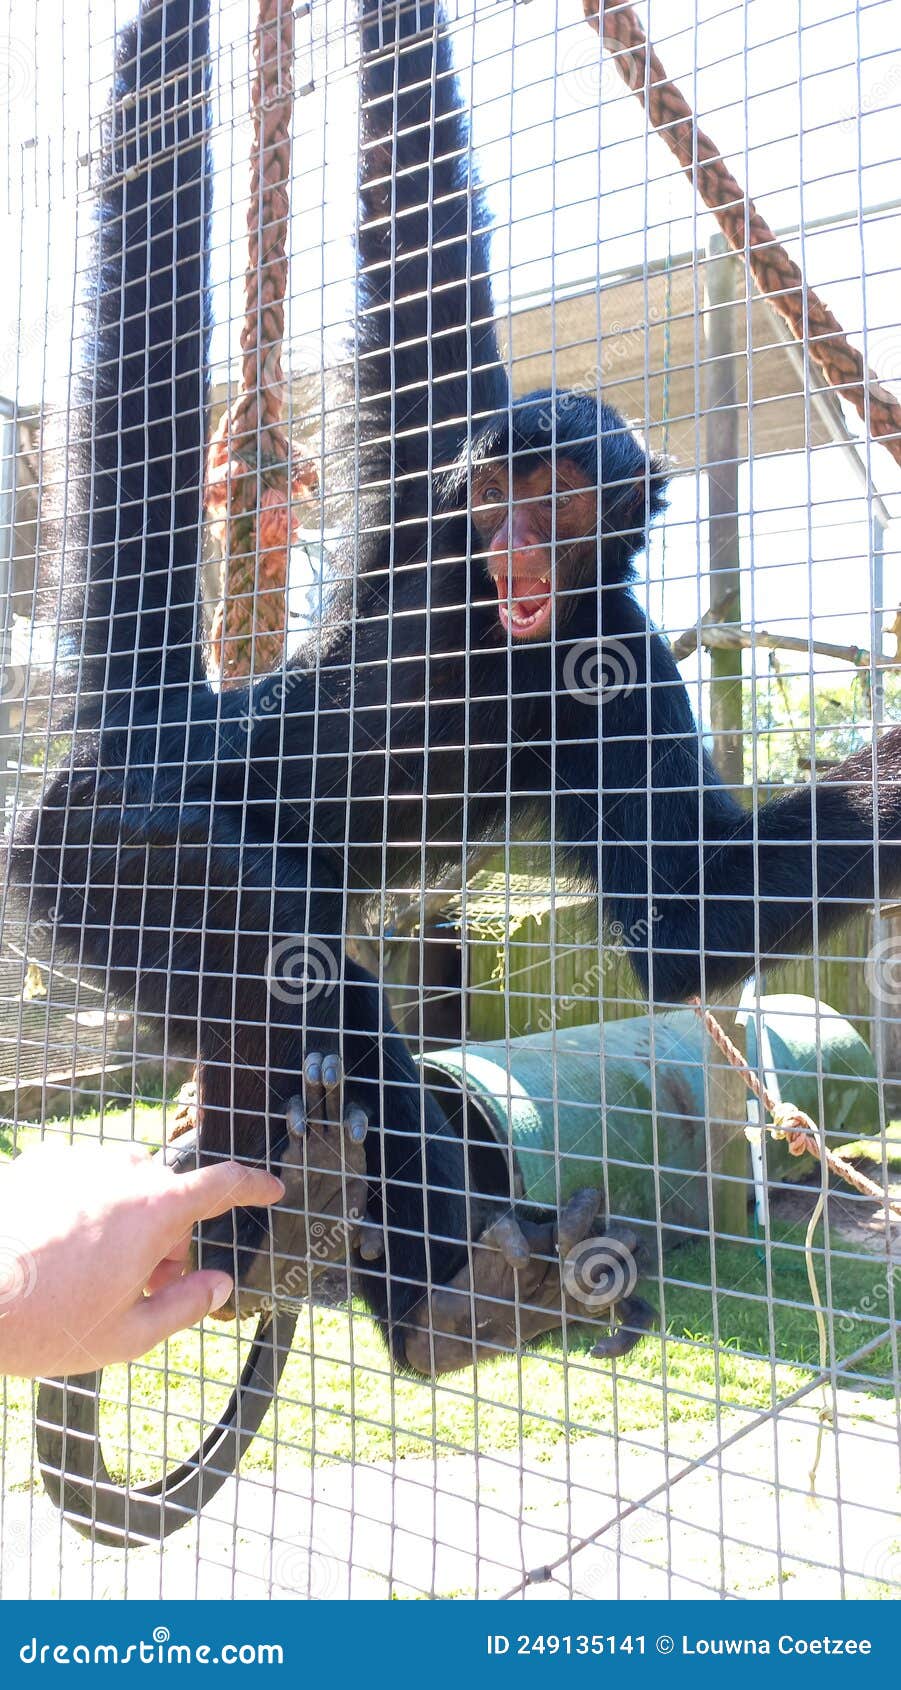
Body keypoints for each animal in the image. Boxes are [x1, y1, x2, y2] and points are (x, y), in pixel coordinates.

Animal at [7, 0, 901, 1378]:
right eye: (495, 494)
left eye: (558, 501)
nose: (516, 548)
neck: (500, 633)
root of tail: (168, 730)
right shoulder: (433, 488)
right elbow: (412, 188)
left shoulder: (618, 653)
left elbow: (686, 910)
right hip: (103, 851)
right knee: (293, 954)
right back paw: (430, 1289)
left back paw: (370, 1264)